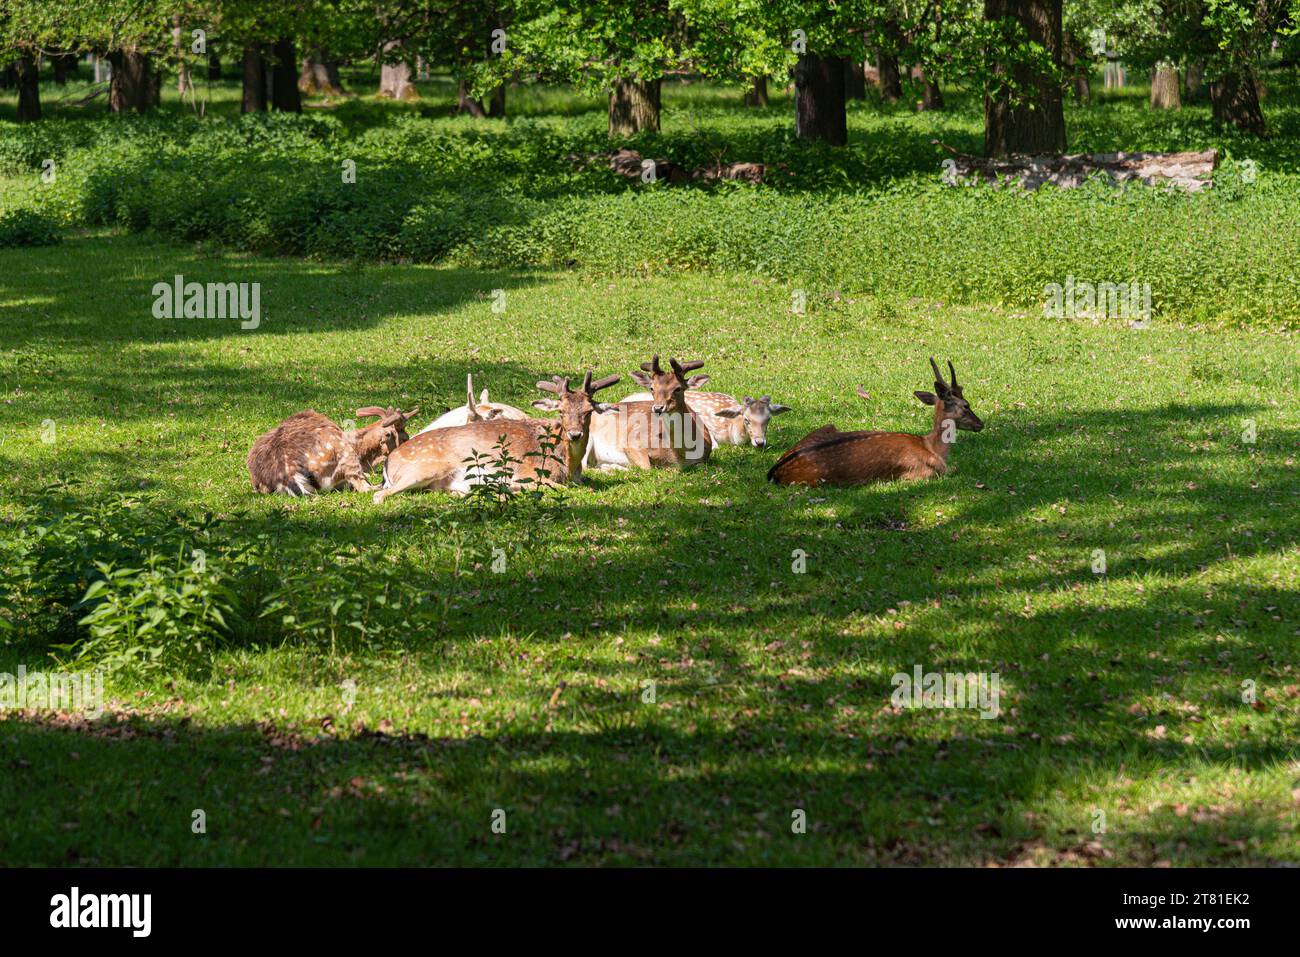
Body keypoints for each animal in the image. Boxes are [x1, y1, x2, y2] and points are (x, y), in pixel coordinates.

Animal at [374, 371, 620, 502]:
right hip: (425, 467)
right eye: (560, 410)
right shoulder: (526, 471)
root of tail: (388, 464)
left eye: (588, 411)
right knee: (380, 496)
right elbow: (563, 488)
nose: (575, 434)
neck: (567, 465)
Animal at [767, 359, 982, 487]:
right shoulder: (916, 474)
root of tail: (773, 473)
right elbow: (954, 469)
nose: (980, 424)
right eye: (966, 405)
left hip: (827, 426)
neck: (933, 447)